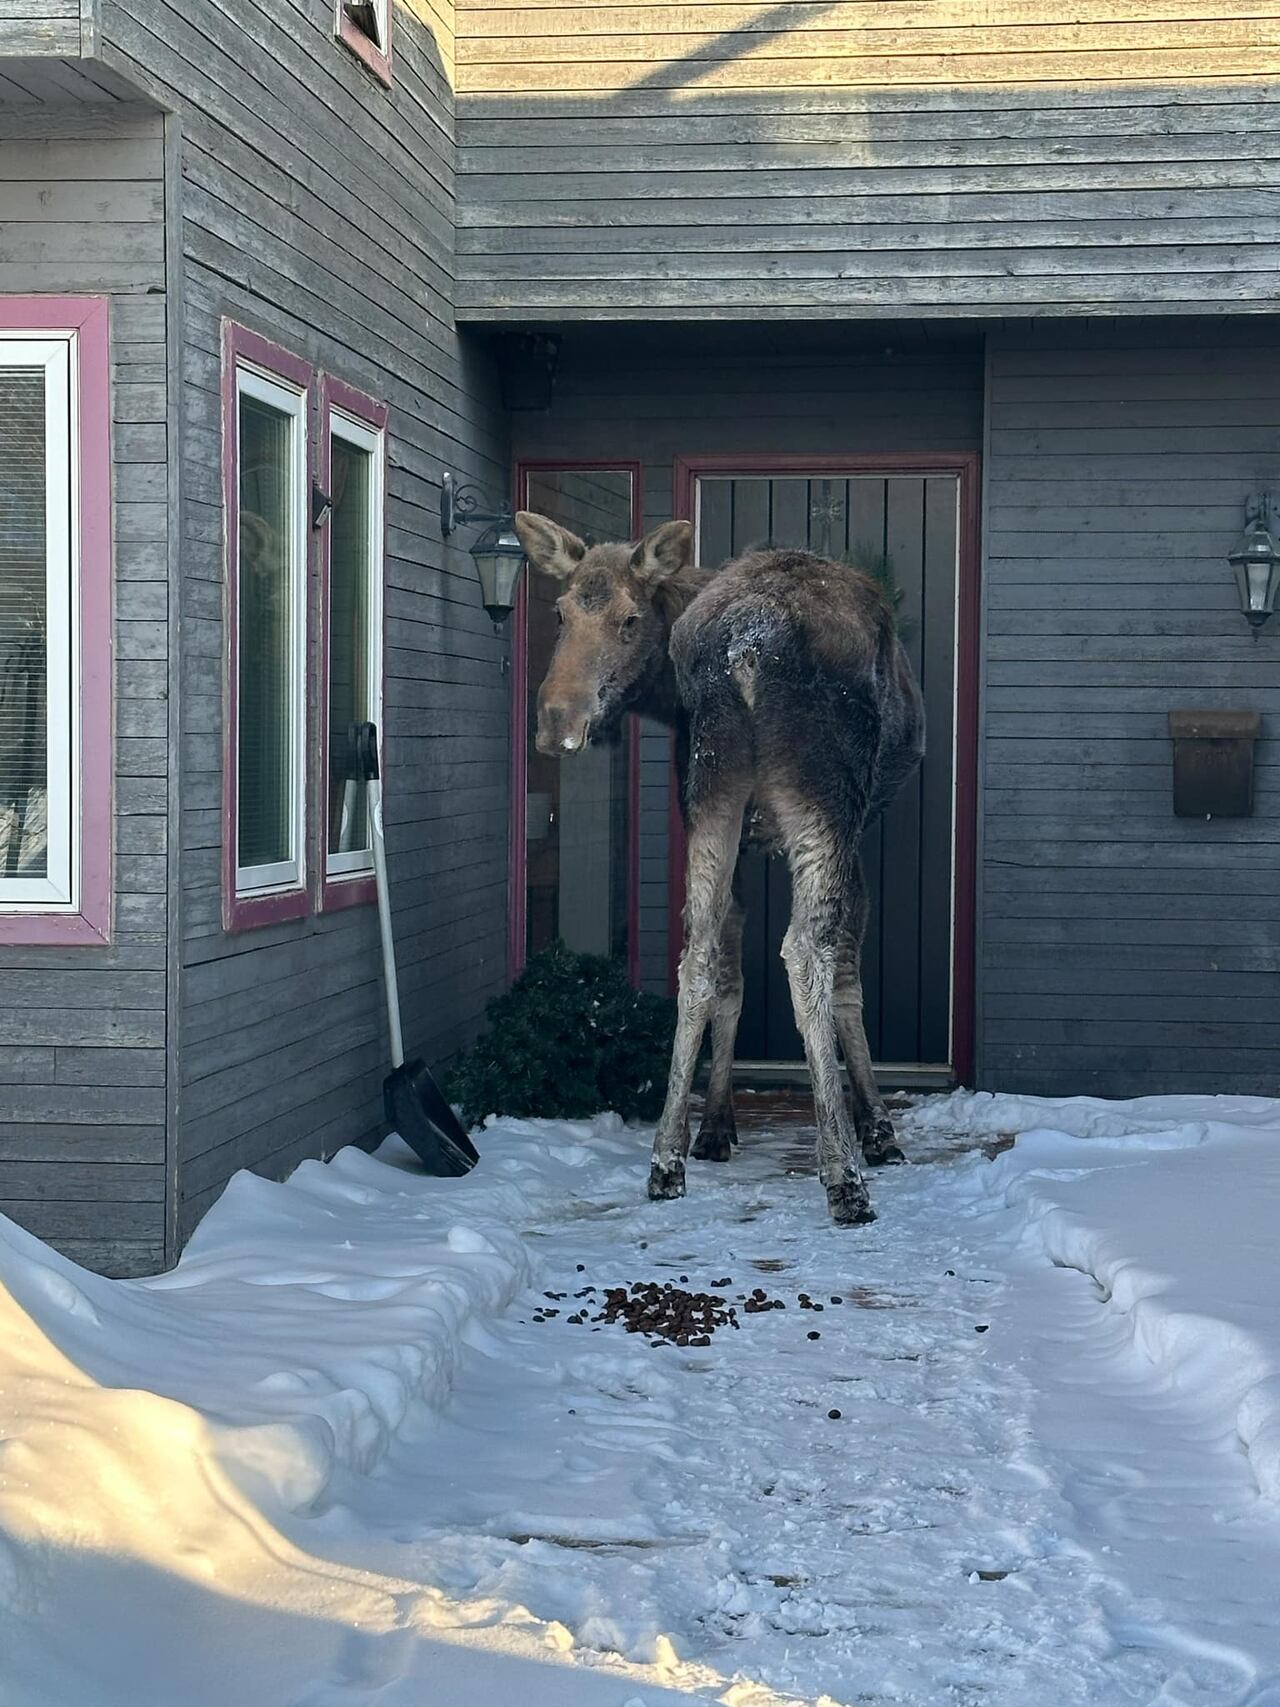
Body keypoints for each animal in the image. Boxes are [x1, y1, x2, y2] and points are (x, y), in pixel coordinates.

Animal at [514, 511, 925, 1227]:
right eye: (561, 613)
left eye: (627, 619)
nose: (555, 721)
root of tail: (746, 650)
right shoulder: (860, 827)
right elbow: (847, 975)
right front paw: (877, 1130)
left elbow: (728, 971)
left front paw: (713, 1127)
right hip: (823, 796)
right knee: (806, 953)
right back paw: (842, 1174)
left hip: (714, 790)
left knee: (698, 951)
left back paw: (664, 1160)